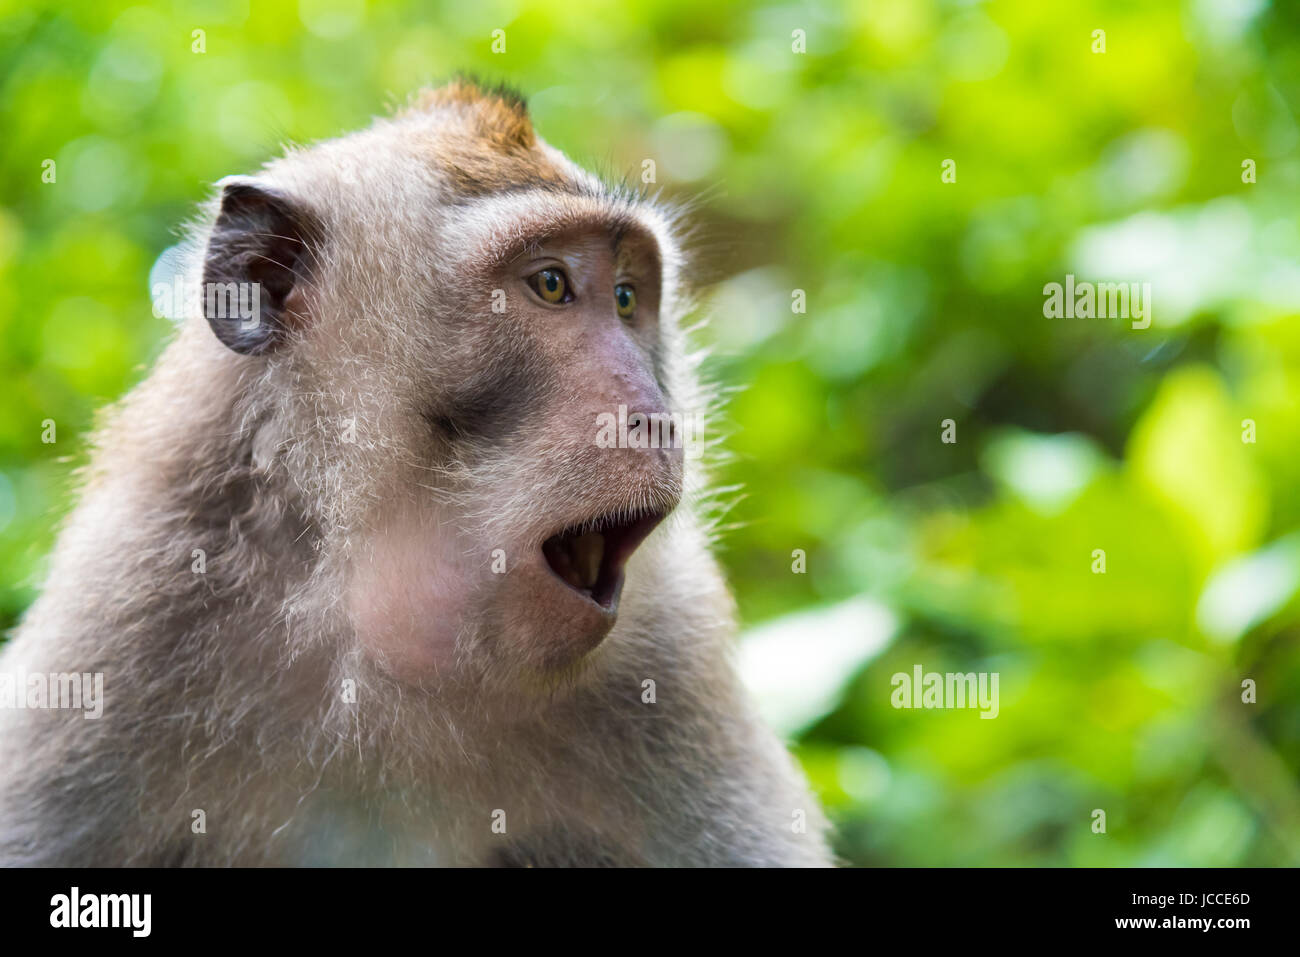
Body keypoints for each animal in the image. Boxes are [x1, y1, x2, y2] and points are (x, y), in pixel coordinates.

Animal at [0, 79, 832, 867]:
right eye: (551, 284)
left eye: (627, 298)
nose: (656, 416)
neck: (379, 647)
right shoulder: (125, 617)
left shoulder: (674, 658)